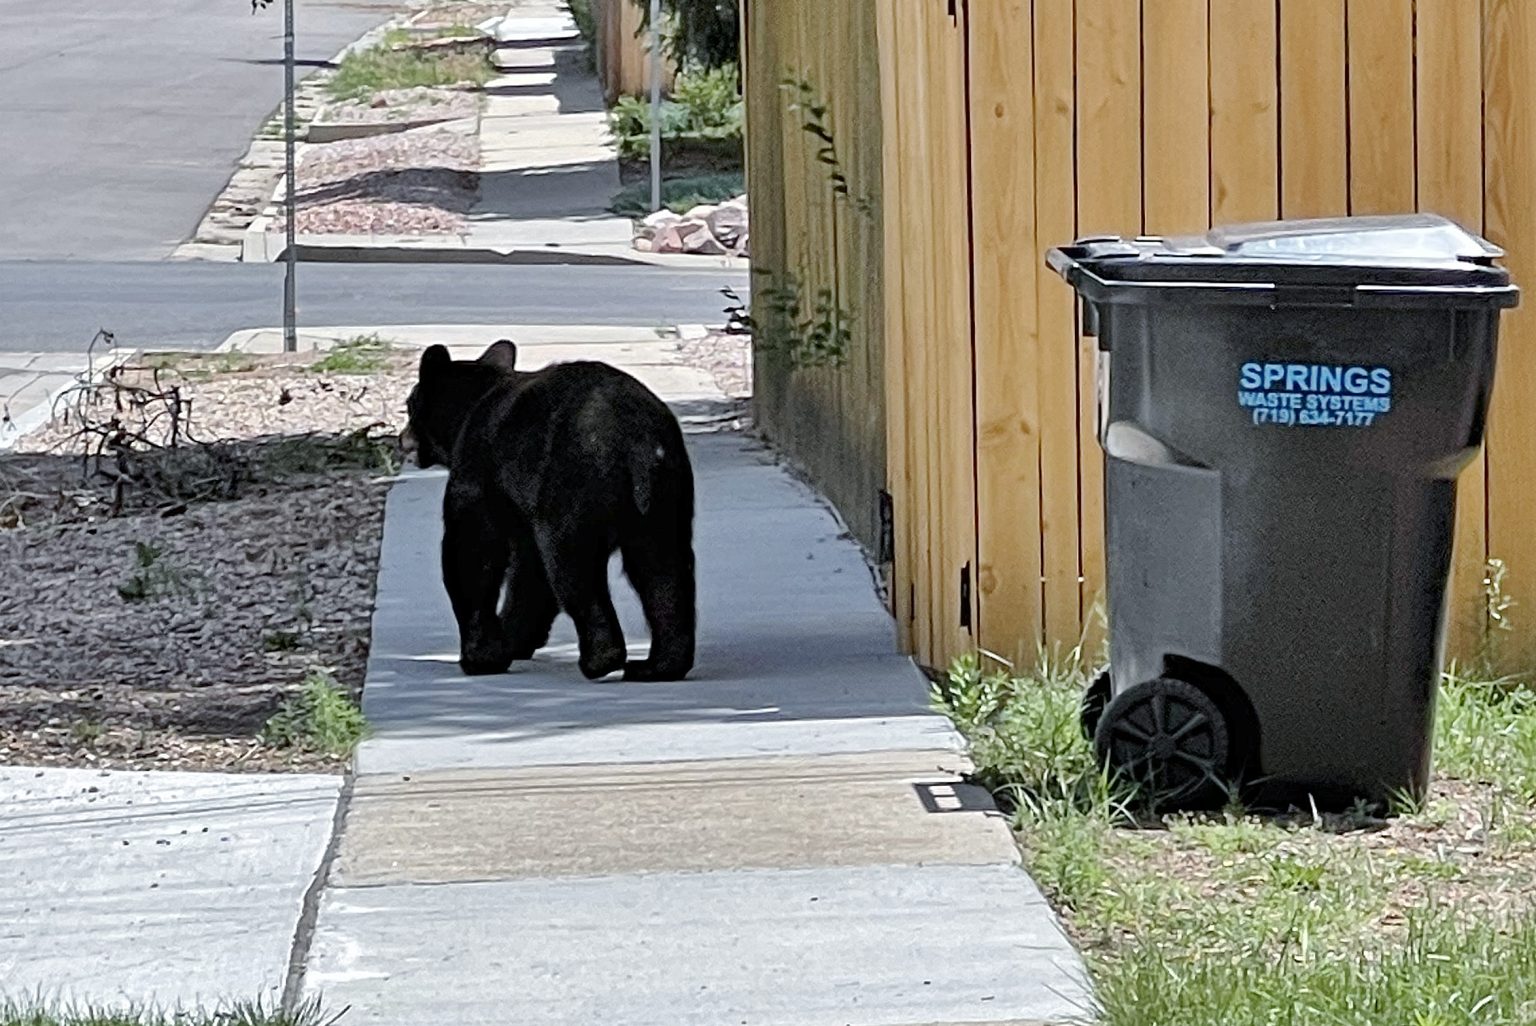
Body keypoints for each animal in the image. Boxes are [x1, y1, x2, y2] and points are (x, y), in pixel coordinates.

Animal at [401, 339, 696, 682]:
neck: (470, 410)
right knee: (663, 565)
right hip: (663, 493)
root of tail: (636, 438)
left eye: (409, 404)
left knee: (571, 564)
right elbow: (528, 569)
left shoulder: (478, 470)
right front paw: (513, 639)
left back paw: (601, 658)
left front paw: (481, 657)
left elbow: (472, 551)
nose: (402, 438)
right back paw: (658, 665)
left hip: (571, 480)